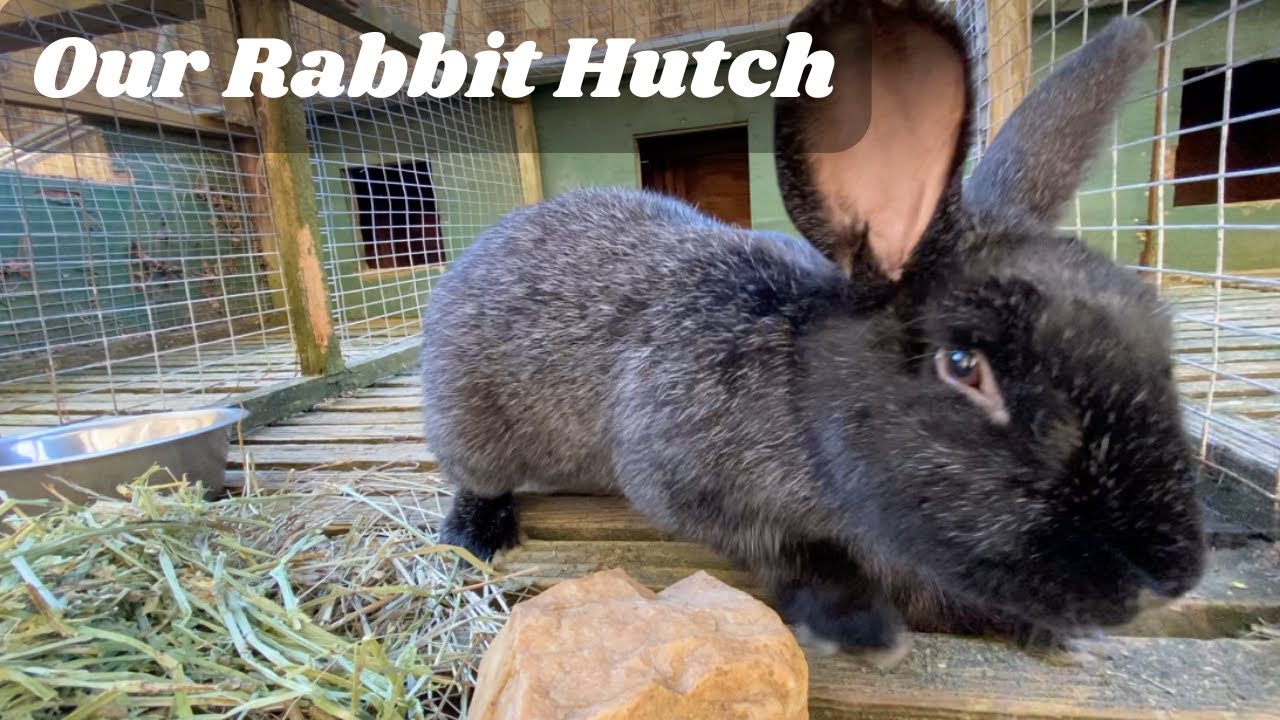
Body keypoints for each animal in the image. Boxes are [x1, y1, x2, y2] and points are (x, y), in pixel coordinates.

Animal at [421, 0, 1206, 663]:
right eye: (963, 364)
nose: (1171, 579)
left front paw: (1046, 631)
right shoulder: (684, 478)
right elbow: (786, 551)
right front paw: (857, 624)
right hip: (472, 421)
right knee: (475, 476)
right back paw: (477, 533)